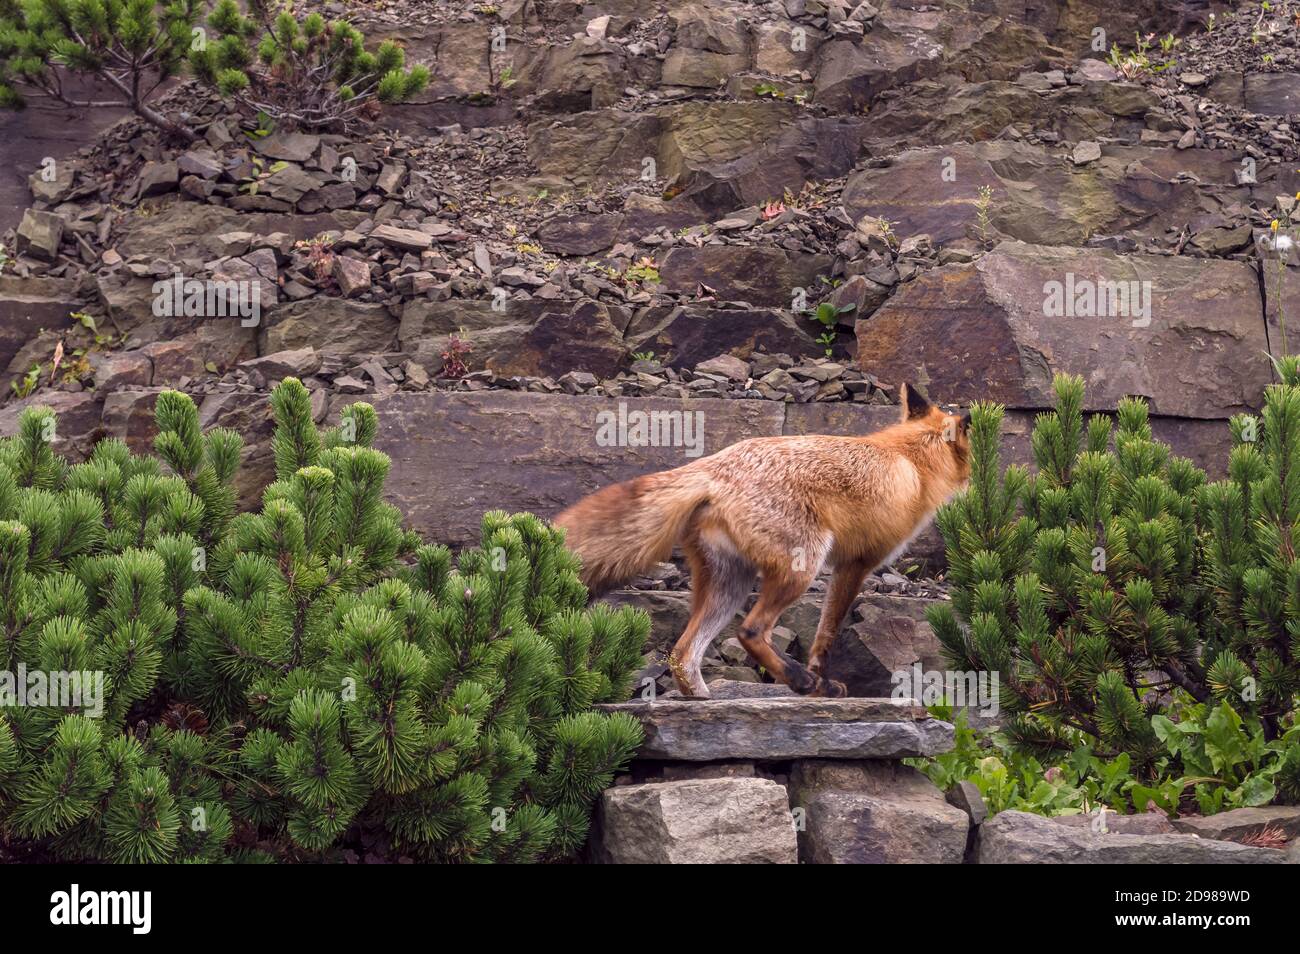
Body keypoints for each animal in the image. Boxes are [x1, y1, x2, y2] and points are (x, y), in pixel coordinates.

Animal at [554, 385, 972, 699]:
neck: (910, 459)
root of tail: (716, 464)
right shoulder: (856, 564)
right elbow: (827, 634)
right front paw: (821, 683)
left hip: (730, 584)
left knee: (682, 654)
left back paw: (702, 700)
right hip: (801, 566)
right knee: (751, 631)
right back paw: (800, 681)